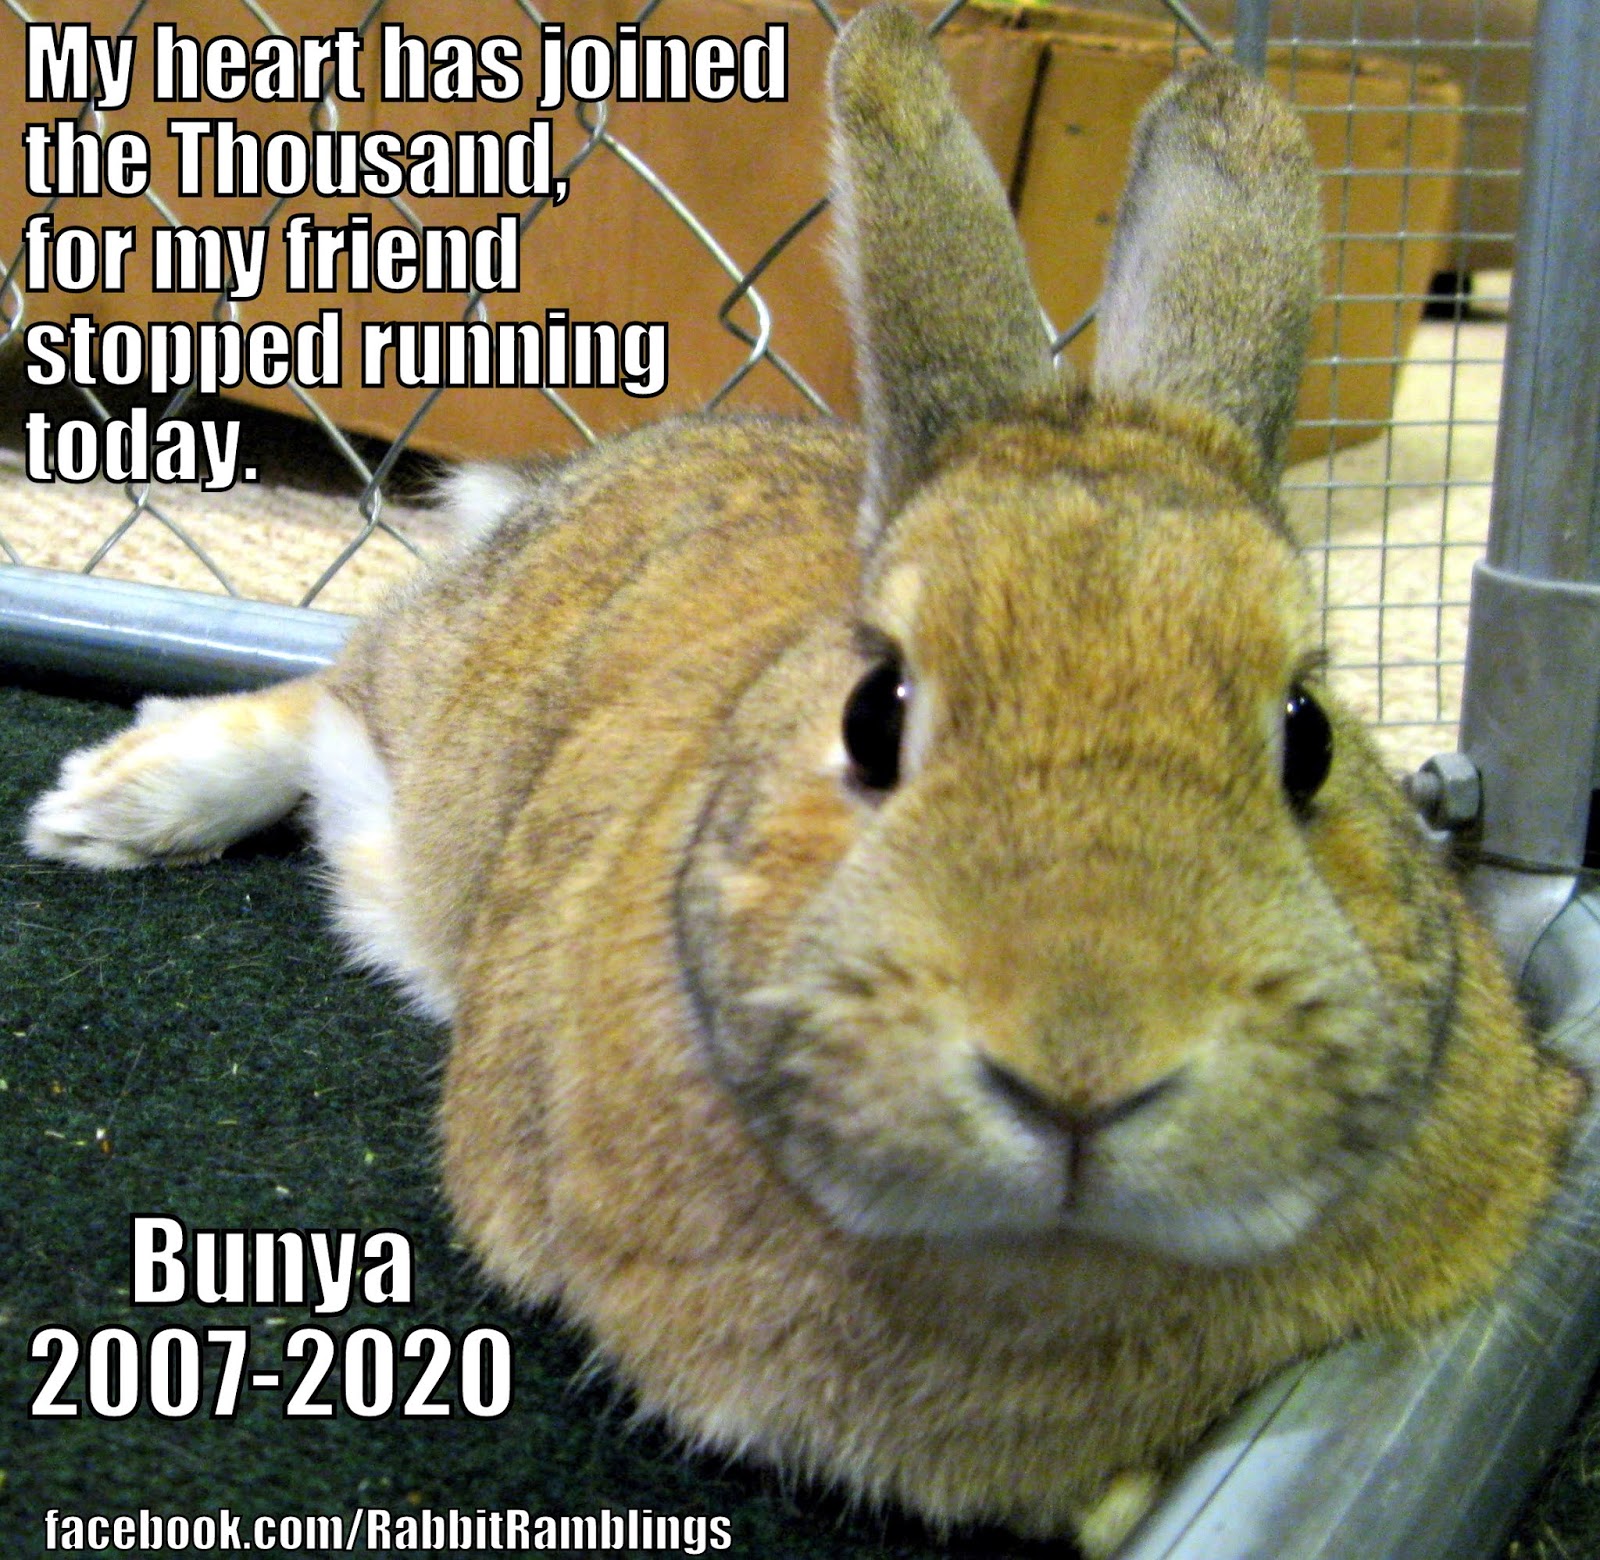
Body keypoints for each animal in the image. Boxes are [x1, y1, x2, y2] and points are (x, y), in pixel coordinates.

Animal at [24, 5, 1582, 1553]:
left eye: (1307, 733)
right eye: (874, 713)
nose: (1083, 1070)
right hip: (438, 694)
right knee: (323, 696)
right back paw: (107, 805)